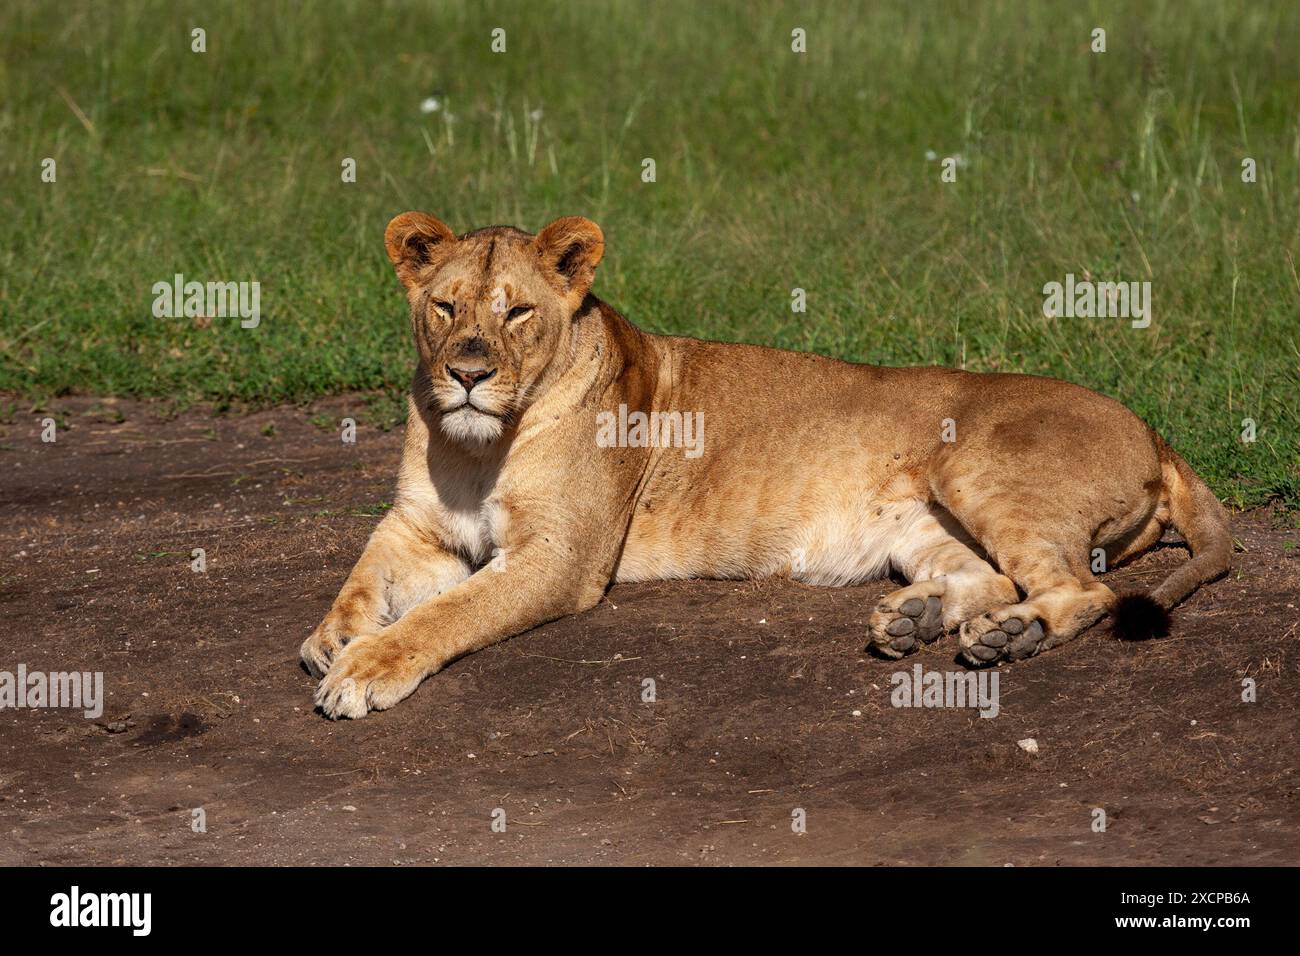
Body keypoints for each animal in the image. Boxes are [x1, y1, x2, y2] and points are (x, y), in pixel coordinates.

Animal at [301, 213, 1232, 719]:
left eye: (518, 312)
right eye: (444, 307)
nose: (466, 372)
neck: (476, 443)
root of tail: (1157, 433)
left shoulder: (559, 558)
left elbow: (444, 616)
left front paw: (366, 669)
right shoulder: (417, 526)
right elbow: (365, 574)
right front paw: (334, 638)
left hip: (977, 469)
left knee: (1082, 589)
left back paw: (1013, 637)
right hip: (925, 526)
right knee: (996, 576)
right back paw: (919, 620)